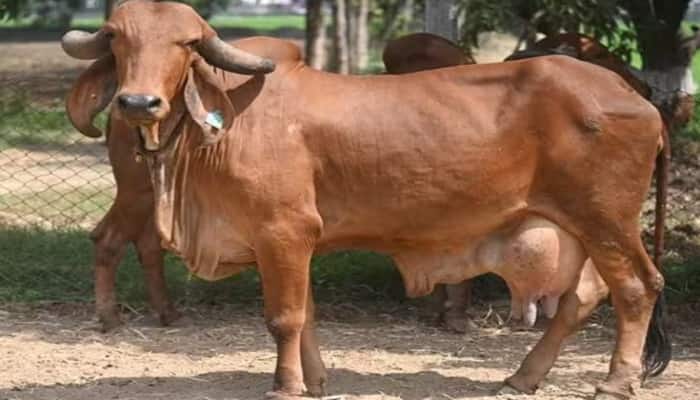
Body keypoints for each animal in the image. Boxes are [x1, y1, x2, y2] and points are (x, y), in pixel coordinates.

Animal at [62, 2, 671, 398]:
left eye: (186, 44)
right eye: (116, 39)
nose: (138, 102)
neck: (224, 121)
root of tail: (637, 97)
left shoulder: (283, 232)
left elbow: (284, 317)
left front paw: (285, 385)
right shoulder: (292, 243)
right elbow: (306, 313)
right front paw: (315, 380)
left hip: (607, 221)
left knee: (637, 289)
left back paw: (616, 382)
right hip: (579, 228)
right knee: (583, 298)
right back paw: (524, 376)